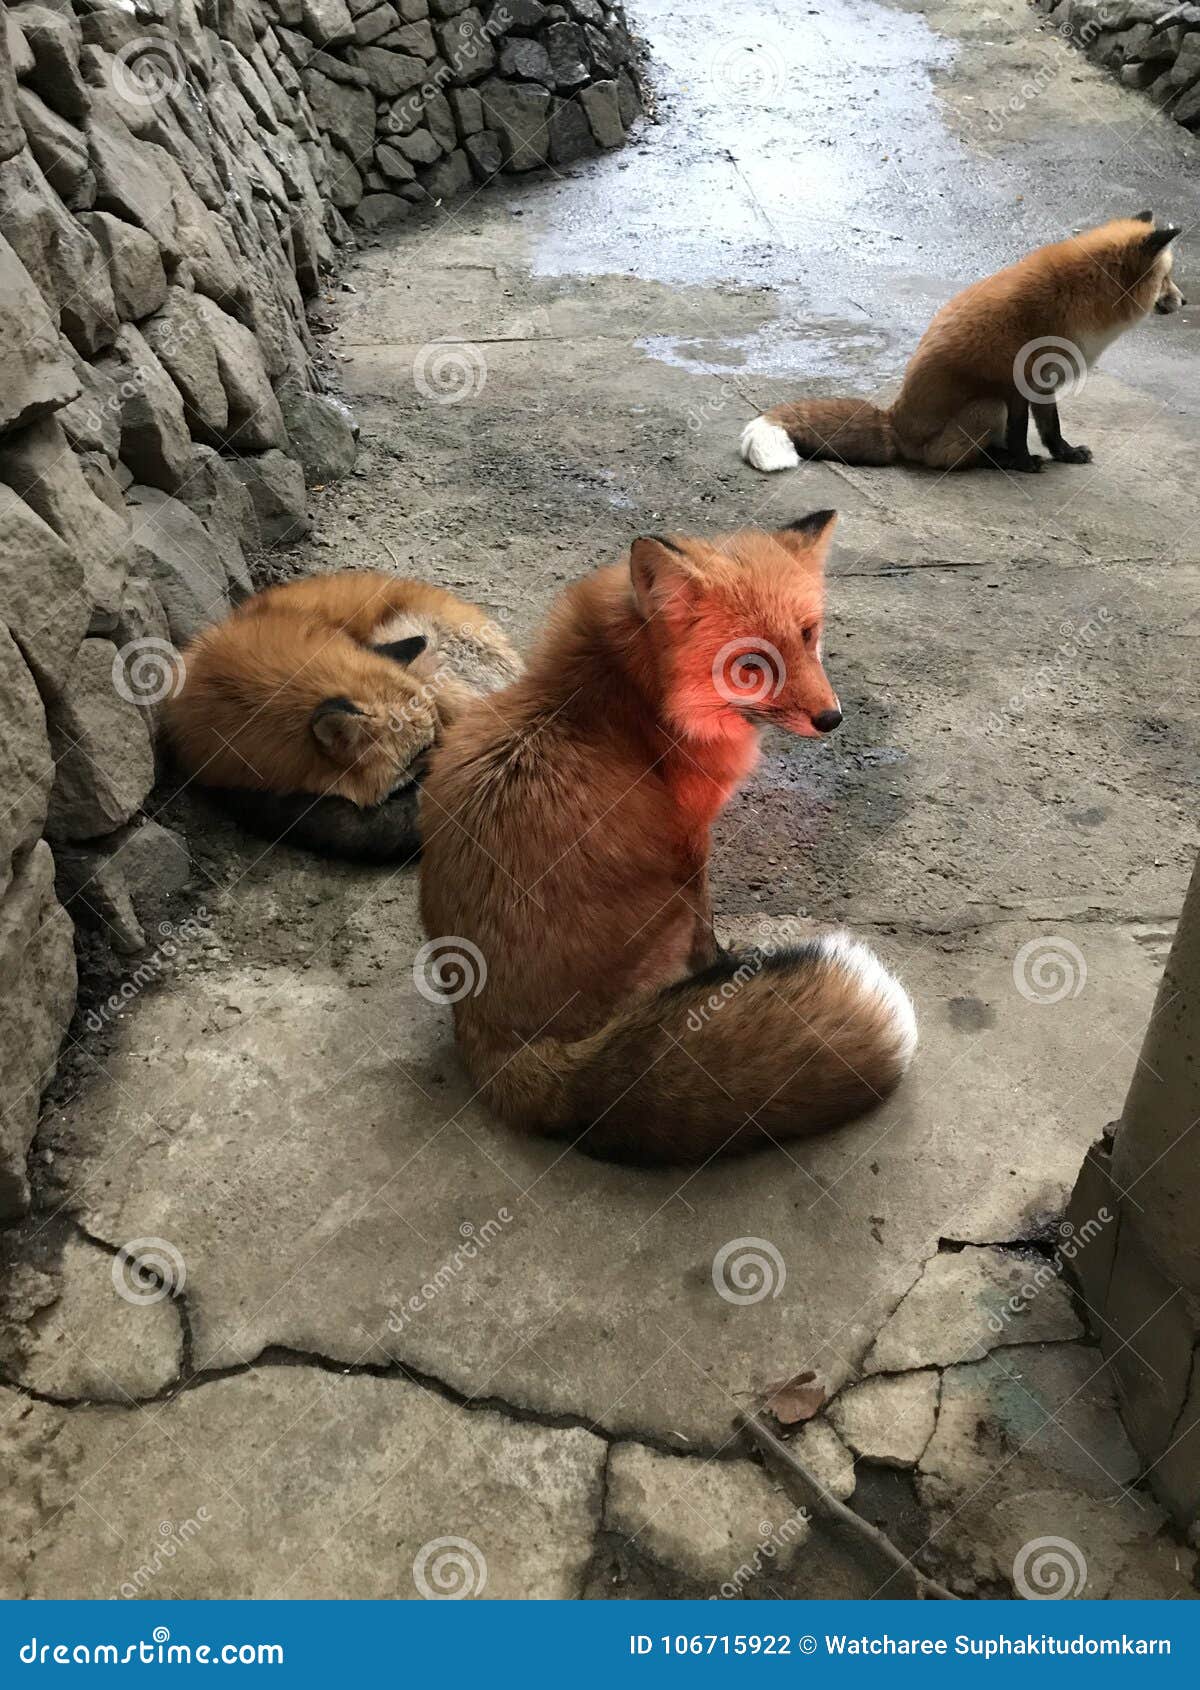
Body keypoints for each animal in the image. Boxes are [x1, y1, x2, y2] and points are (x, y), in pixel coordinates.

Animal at [418, 514, 917, 1165]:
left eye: (809, 635)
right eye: (751, 663)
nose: (832, 719)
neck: (636, 693)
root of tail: (505, 1051)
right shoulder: (691, 843)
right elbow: (709, 928)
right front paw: (724, 965)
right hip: (665, 908)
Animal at [741, 214, 1184, 475]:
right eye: (1166, 279)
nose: (1184, 302)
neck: (1076, 299)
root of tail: (894, 423)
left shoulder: (1045, 384)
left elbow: (1051, 427)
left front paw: (1065, 453)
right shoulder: (1016, 384)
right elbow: (1024, 431)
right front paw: (1024, 463)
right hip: (988, 406)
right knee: (953, 460)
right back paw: (997, 461)